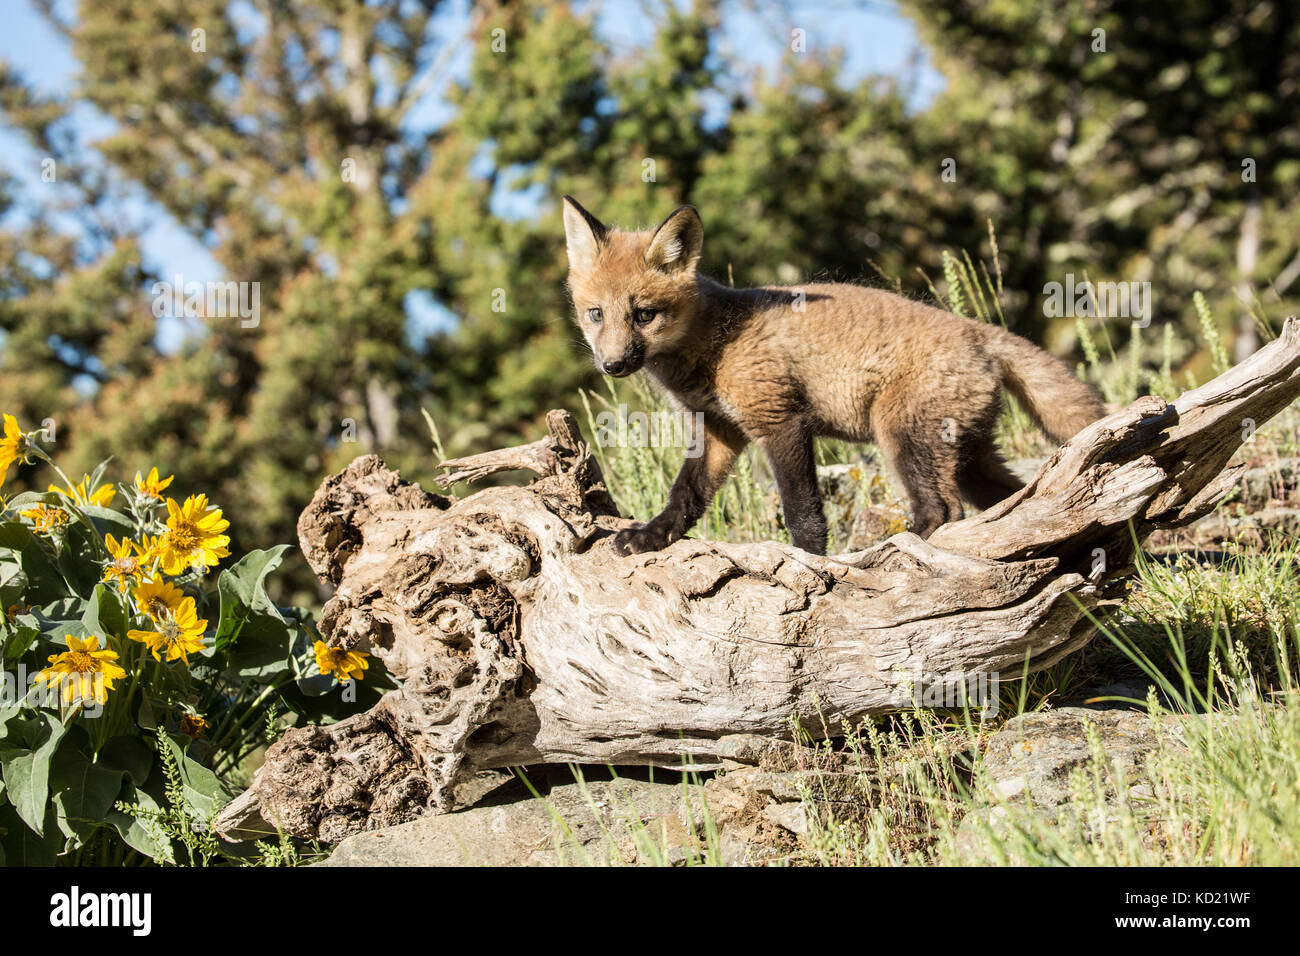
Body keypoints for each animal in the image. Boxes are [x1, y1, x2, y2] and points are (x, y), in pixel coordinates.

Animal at [561, 195, 1107, 557]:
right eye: (595, 315)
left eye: (644, 315)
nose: (612, 365)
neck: (712, 345)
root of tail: (978, 331)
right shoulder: (717, 430)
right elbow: (685, 495)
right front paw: (652, 536)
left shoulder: (779, 420)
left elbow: (802, 512)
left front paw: (809, 562)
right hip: (969, 457)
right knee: (1012, 501)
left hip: (901, 437)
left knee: (943, 511)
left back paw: (890, 550)